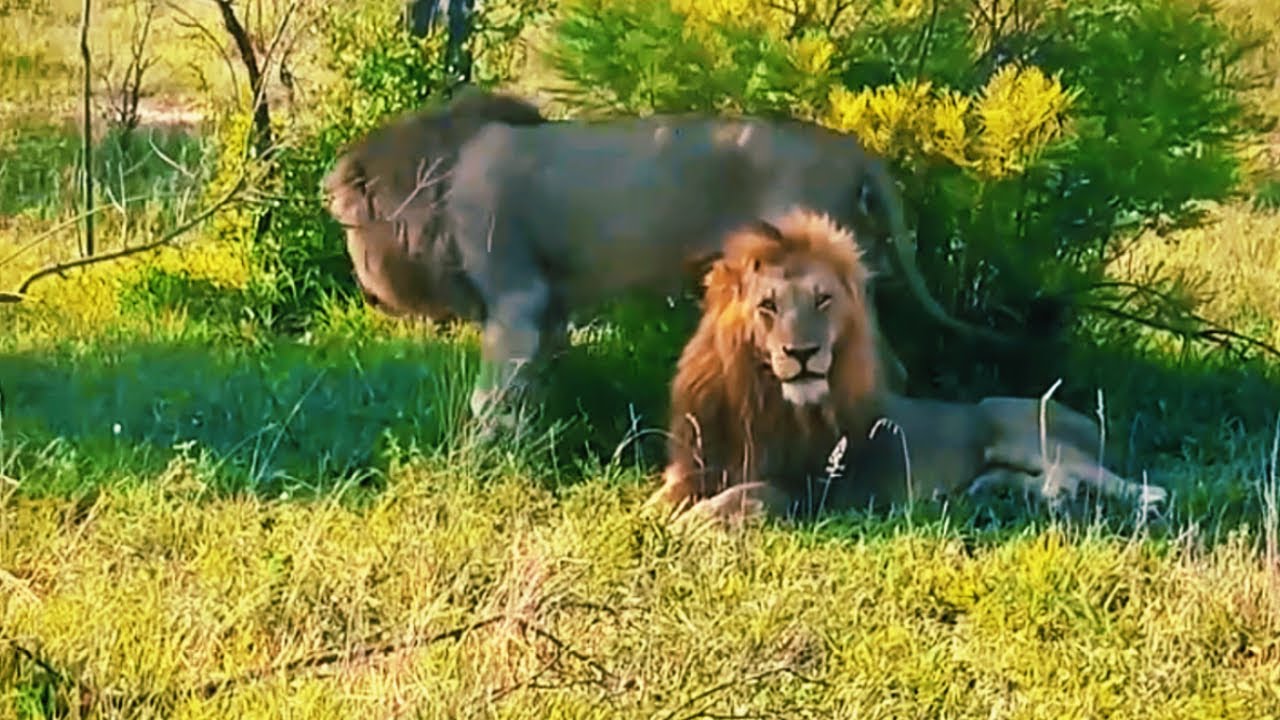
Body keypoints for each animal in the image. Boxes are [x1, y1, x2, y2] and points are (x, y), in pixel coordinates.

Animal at [324, 91, 1014, 430]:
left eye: (352, 226)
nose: (367, 289)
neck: (438, 181)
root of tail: (853, 149)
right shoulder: (549, 307)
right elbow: (533, 385)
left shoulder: (517, 298)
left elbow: (490, 398)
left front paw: (483, 456)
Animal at [646, 208, 1168, 524]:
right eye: (768, 306)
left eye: (823, 300)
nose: (803, 353)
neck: (760, 396)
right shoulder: (698, 464)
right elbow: (660, 498)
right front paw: (651, 518)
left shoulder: (814, 488)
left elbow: (743, 495)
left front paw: (691, 525)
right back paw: (1025, 495)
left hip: (1026, 433)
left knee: (1109, 478)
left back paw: (1143, 500)